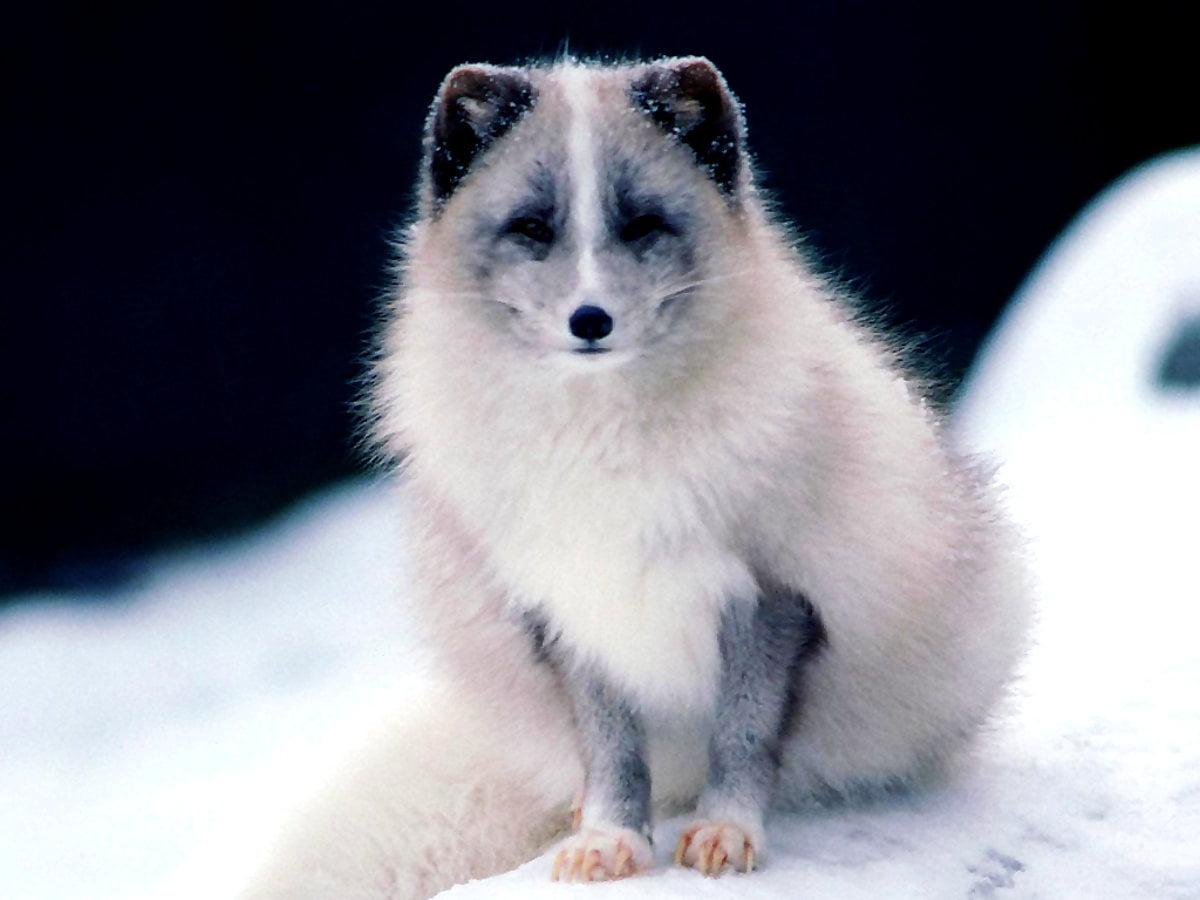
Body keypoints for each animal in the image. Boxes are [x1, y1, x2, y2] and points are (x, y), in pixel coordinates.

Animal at [246, 56, 1032, 898]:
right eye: (533, 228)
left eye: (642, 225)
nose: (590, 320)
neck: (605, 443)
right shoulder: (572, 605)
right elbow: (610, 750)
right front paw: (608, 839)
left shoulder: (775, 594)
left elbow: (743, 735)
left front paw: (727, 830)